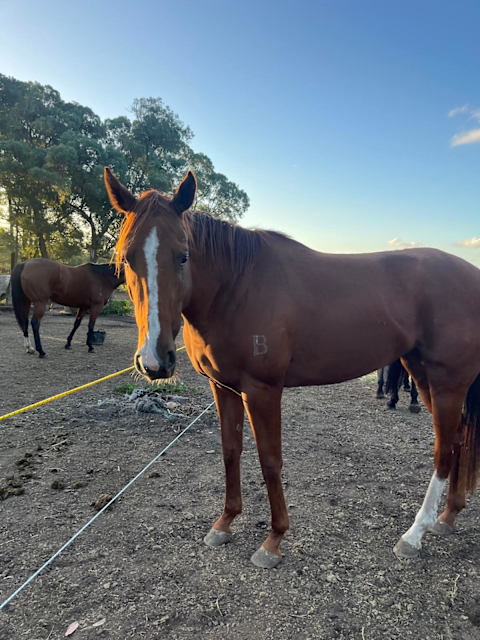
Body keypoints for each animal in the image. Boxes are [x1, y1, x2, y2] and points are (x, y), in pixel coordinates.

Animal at [105, 166, 480, 569]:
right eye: (127, 258)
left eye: (183, 256)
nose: (154, 361)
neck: (237, 286)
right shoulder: (223, 387)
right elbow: (230, 450)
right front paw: (224, 523)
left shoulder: (262, 390)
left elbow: (270, 460)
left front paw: (273, 540)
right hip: (422, 375)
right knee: (459, 437)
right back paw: (447, 517)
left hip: (446, 382)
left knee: (444, 447)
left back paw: (414, 534)